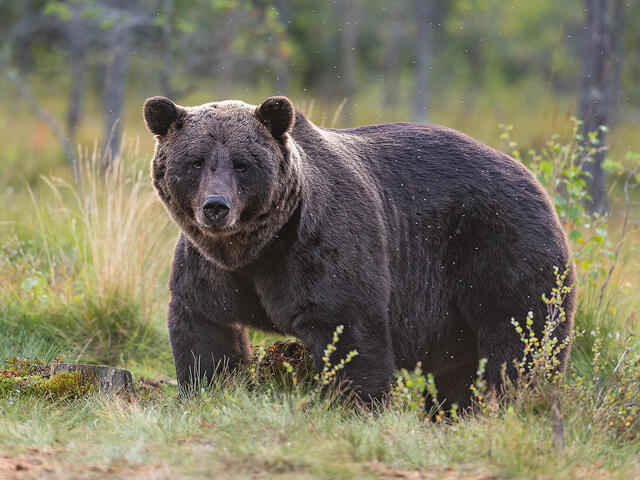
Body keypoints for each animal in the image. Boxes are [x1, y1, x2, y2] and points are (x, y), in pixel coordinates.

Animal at [143, 95, 576, 408]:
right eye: (195, 161)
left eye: (242, 163)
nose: (216, 206)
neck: (256, 248)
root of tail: (534, 180)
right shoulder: (209, 267)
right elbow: (206, 330)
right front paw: (206, 389)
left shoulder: (320, 247)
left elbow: (348, 330)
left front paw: (354, 405)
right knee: (462, 367)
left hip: (499, 245)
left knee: (521, 337)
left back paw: (517, 401)